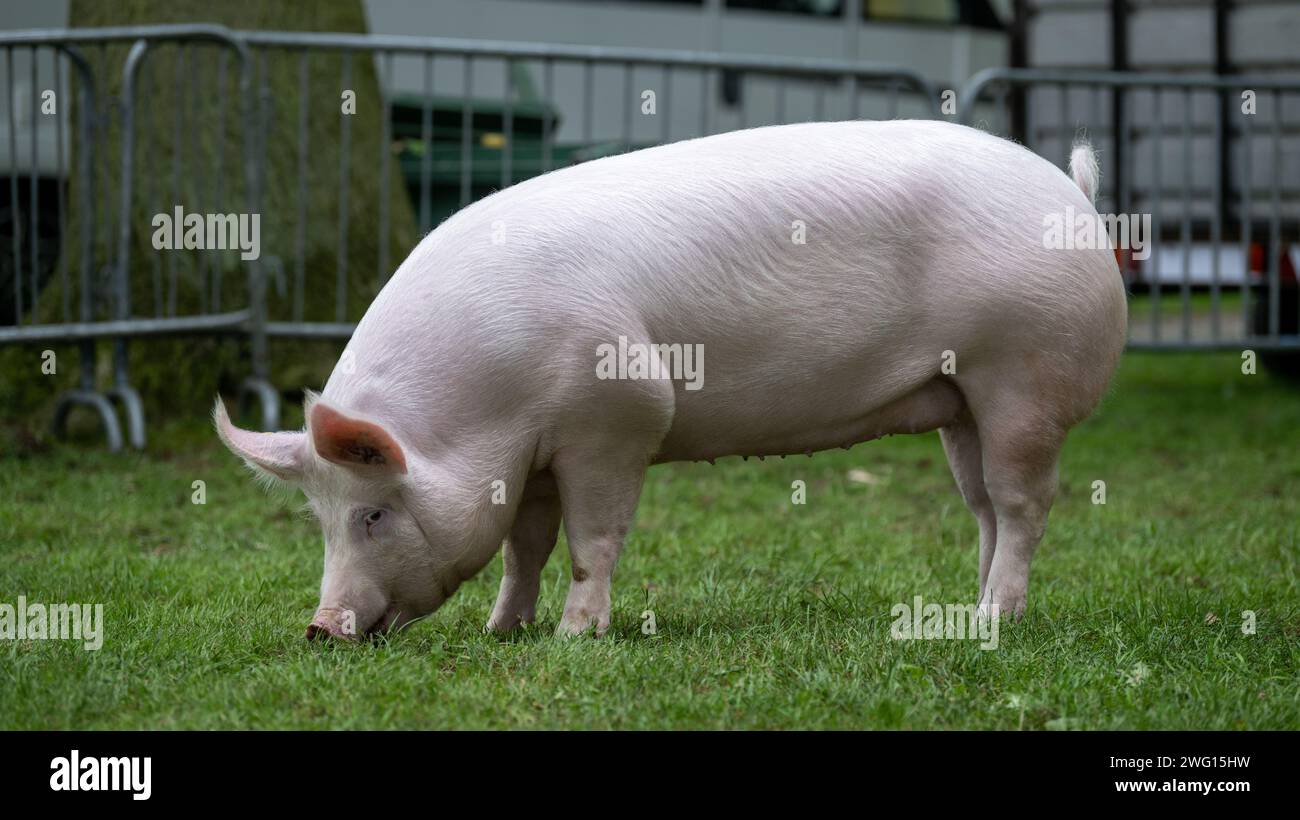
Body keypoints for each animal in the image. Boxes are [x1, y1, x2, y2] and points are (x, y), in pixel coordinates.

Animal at [215, 119, 1126, 640]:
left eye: (372, 512)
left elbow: (592, 540)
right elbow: (524, 544)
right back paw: (964, 610)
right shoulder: (531, 453)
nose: (320, 627)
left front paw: (575, 638)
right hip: (960, 401)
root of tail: (1073, 196)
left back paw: (992, 622)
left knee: (1022, 503)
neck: (482, 410)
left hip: (1023, 379)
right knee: (981, 507)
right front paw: (502, 631)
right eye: (318, 520)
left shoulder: (616, 416)